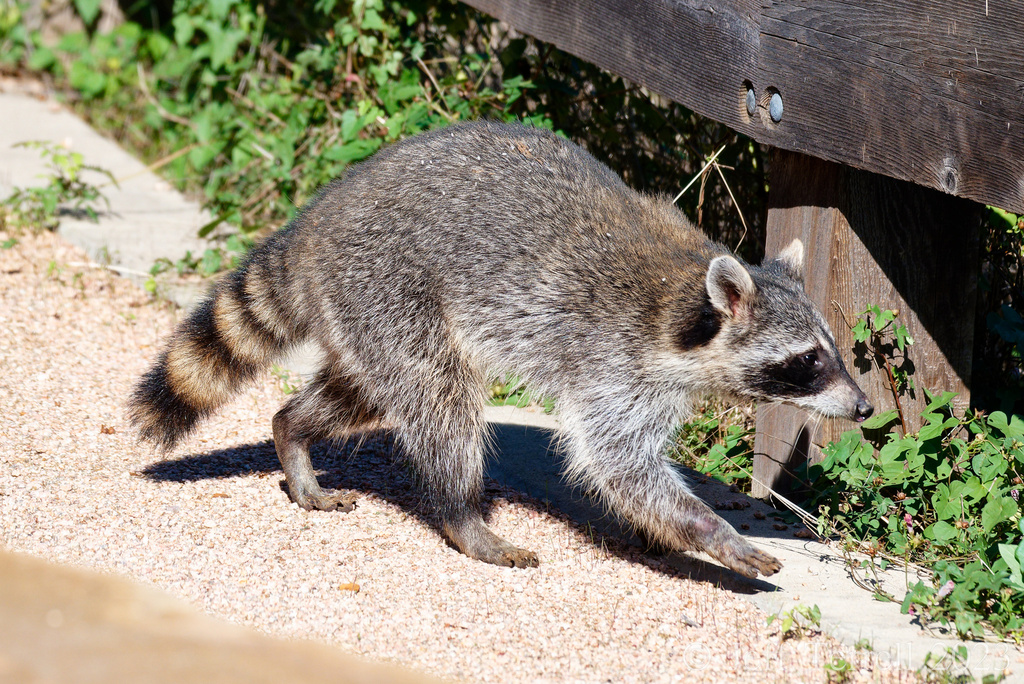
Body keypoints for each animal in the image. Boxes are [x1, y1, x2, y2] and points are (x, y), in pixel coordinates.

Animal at [130, 120, 872, 579]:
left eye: (833, 350)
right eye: (807, 361)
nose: (864, 408)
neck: (685, 298)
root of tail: (316, 220)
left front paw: (662, 530)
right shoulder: (613, 358)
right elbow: (620, 462)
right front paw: (709, 530)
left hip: (365, 309)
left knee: (362, 389)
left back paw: (293, 432)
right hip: (390, 282)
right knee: (441, 398)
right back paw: (463, 514)